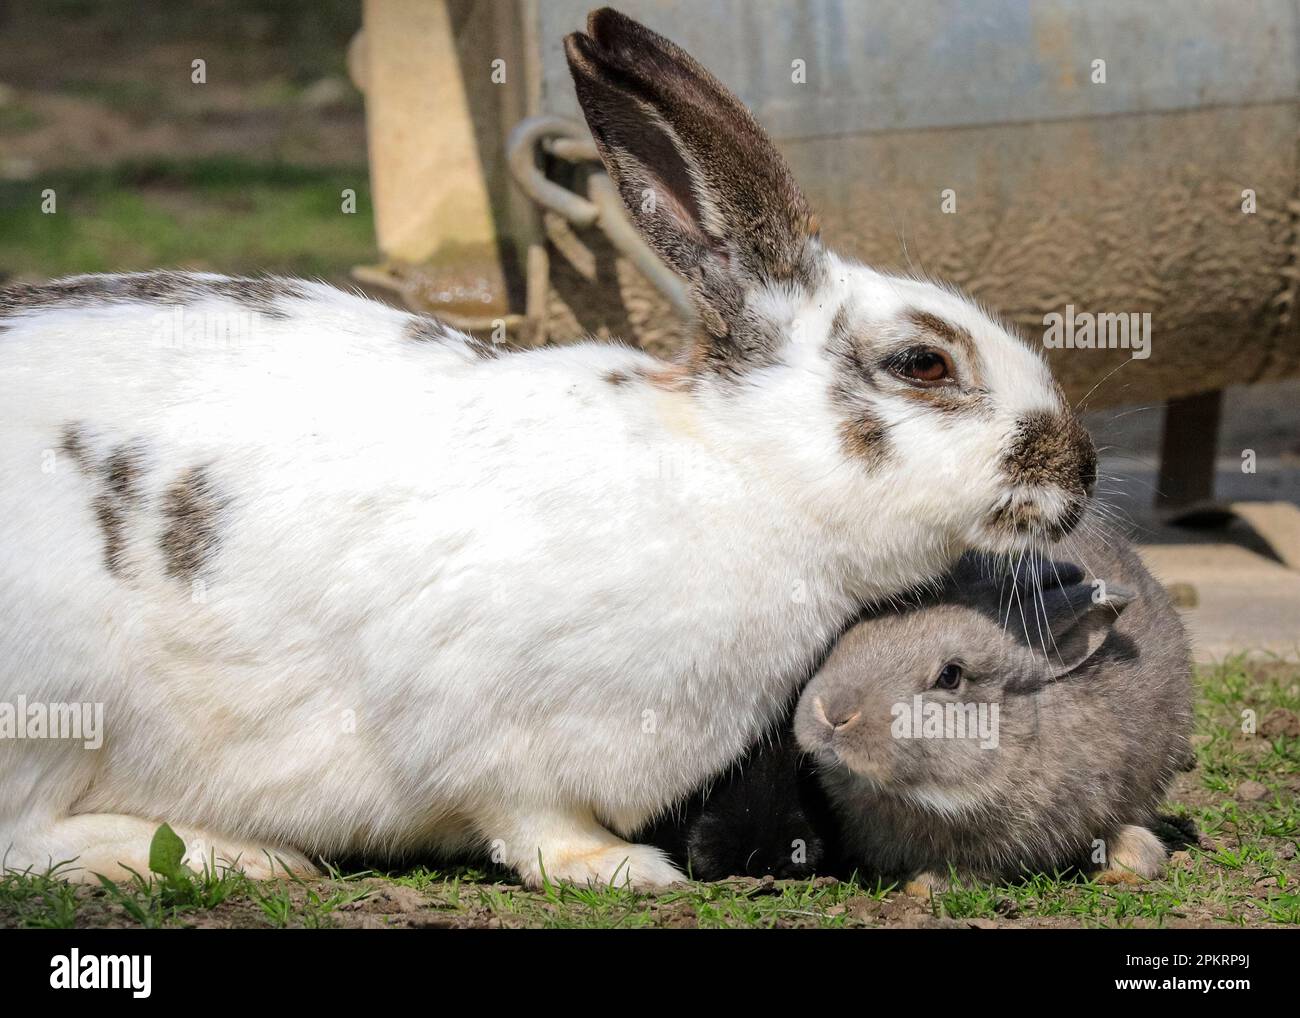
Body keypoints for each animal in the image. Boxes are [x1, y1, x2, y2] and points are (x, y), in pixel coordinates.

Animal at [0, 8, 1096, 890]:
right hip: (55, 697)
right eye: (922, 362)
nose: (1079, 470)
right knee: (27, 838)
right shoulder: (494, 725)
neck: (743, 471)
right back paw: (235, 856)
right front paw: (622, 869)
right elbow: (530, 819)